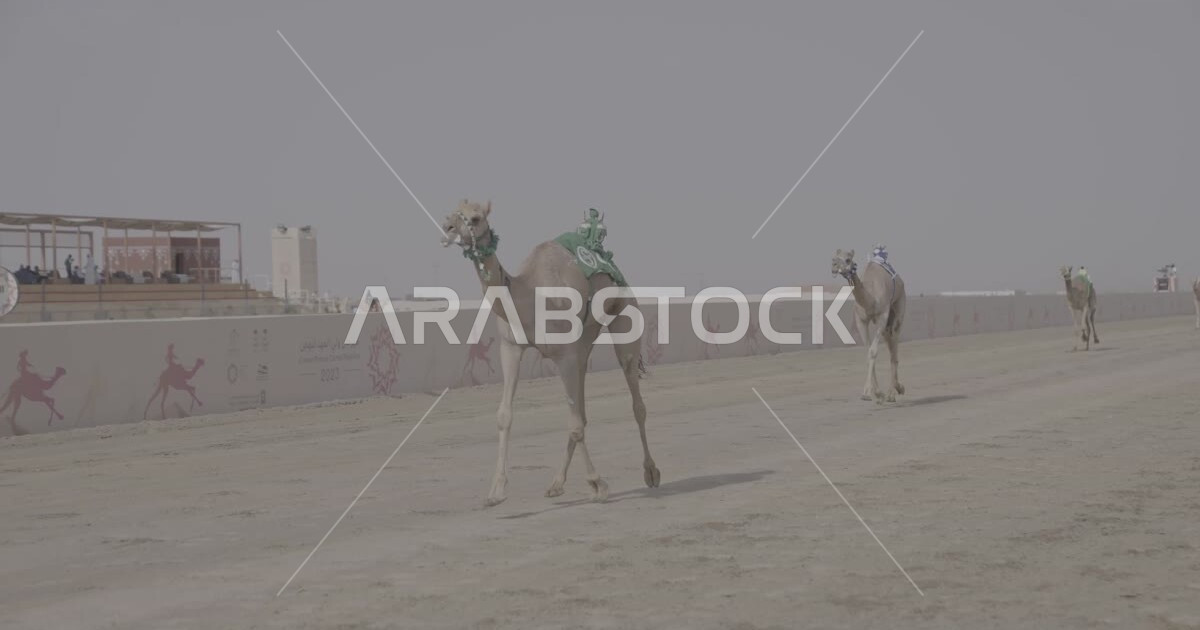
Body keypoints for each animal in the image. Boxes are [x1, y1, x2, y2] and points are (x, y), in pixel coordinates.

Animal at [441, 200, 659, 506]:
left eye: (475, 217)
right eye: (450, 212)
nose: (447, 228)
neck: (530, 296)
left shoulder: (564, 355)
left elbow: (576, 423)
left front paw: (597, 483)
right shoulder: (511, 347)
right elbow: (505, 416)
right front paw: (496, 491)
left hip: (624, 312)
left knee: (635, 400)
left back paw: (651, 472)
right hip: (584, 340)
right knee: (582, 405)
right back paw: (556, 484)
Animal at [831, 247, 907, 403]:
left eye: (848, 259)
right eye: (834, 258)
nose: (834, 265)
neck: (870, 299)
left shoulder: (882, 316)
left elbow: (873, 351)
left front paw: (868, 393)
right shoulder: (861, 321)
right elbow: (868, 353)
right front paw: (878, 394)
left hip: (899, 305)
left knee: (895, 343)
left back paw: (894, 392)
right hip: (887, 325)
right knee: (890, 343)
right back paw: (895, 390)